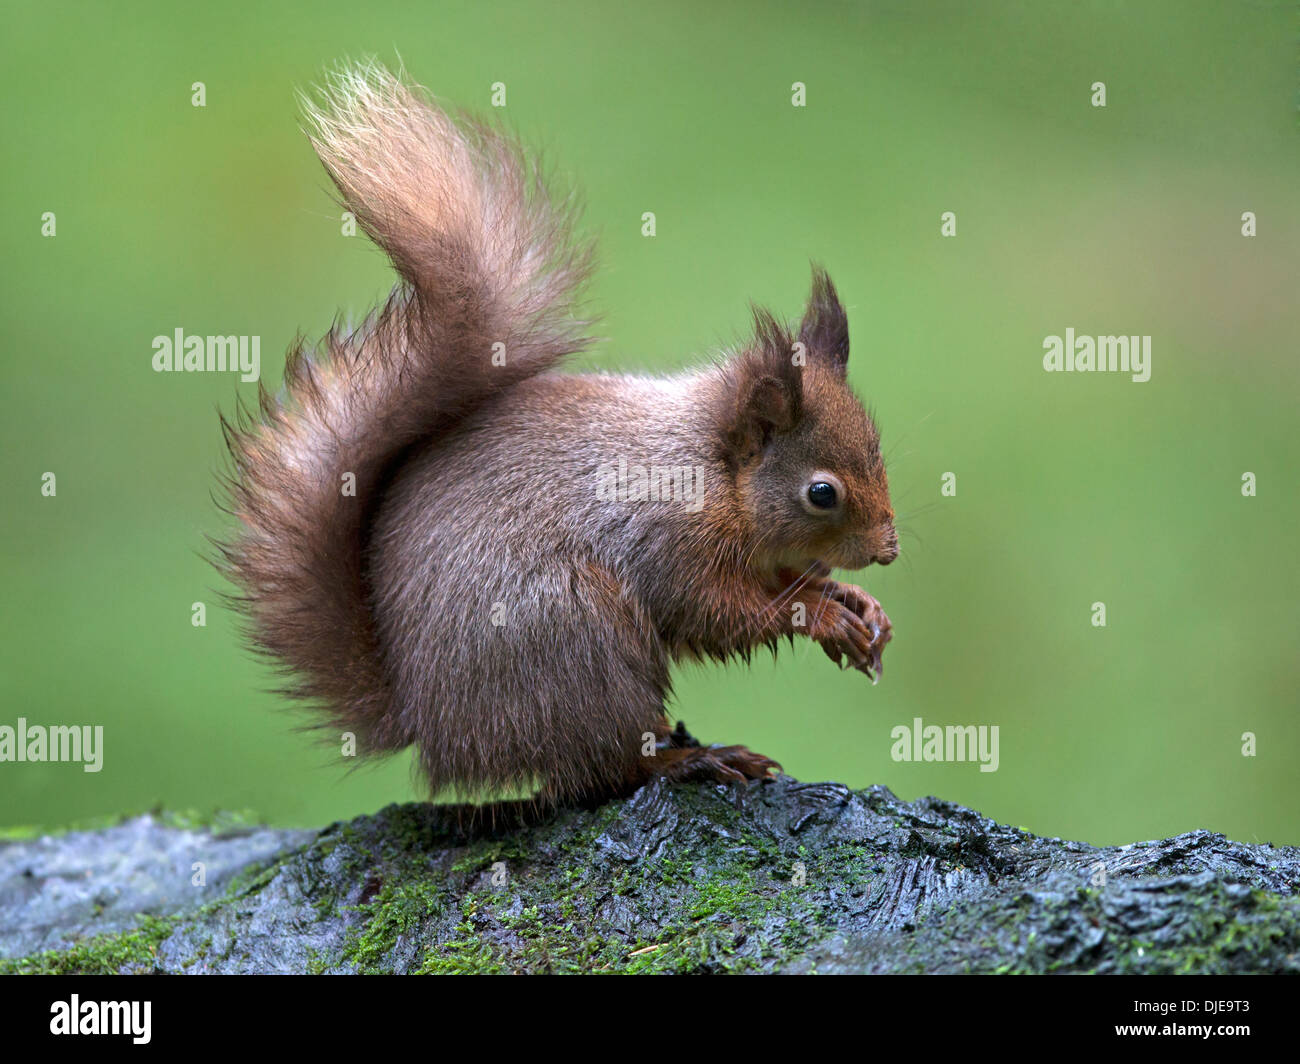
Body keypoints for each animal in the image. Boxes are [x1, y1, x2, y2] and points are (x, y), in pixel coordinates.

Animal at [217, 63, 898, 809]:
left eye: (880, 453)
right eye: (821, 494)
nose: (888, 551)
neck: (711, 468)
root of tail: (433, 729)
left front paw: (856, 603)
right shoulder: (667, 539)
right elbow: (720, 613)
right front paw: (818, 614)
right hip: (578, 637)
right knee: (601, 767)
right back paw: (689, 759)